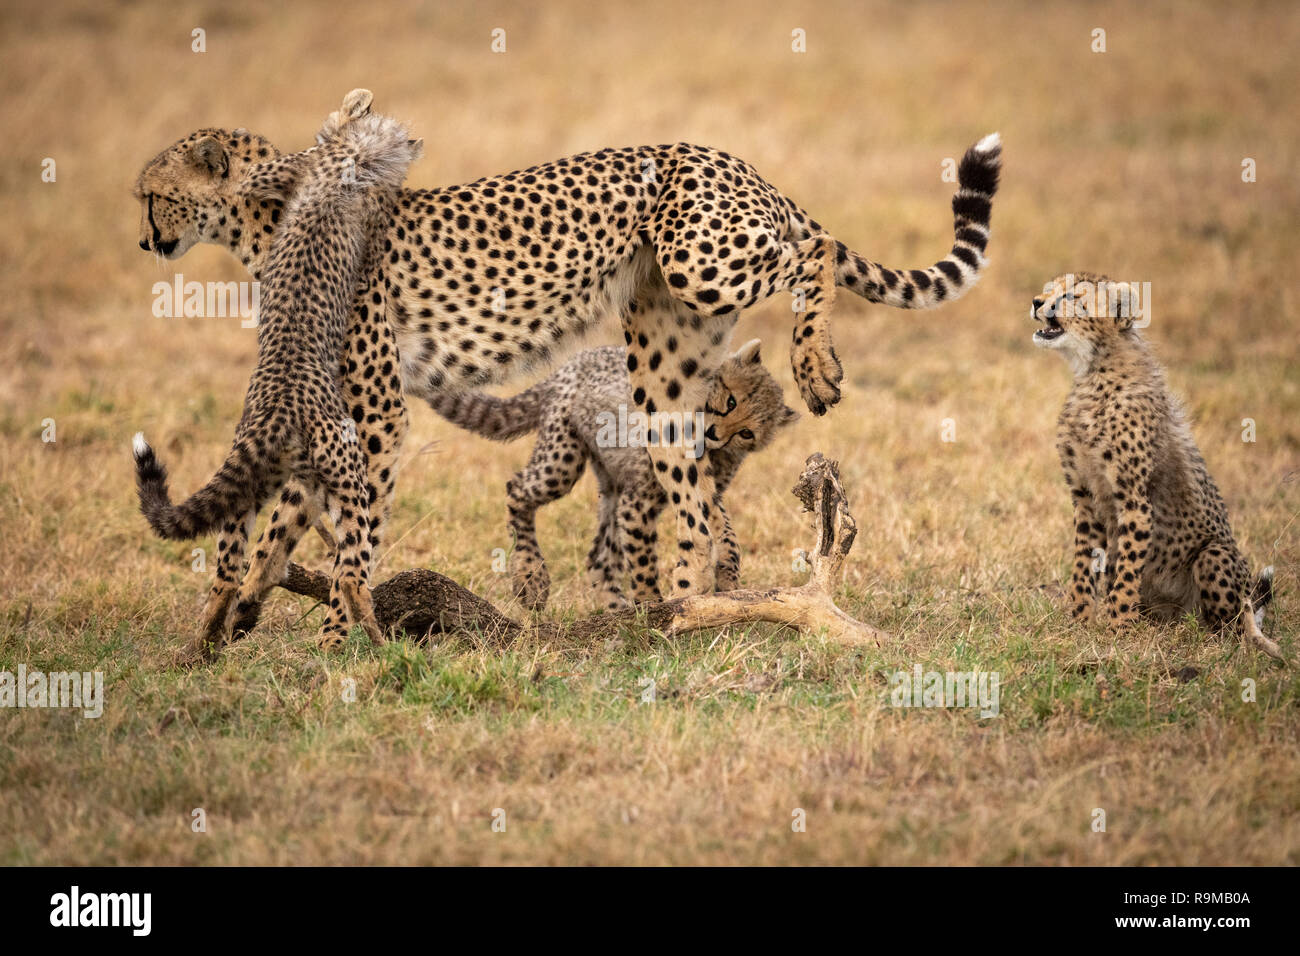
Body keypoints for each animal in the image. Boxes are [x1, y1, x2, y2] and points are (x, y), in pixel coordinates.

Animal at [132, 98, 423, 656]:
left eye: (153, 197)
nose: (143, 241)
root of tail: (281, 405)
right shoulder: (381, 415)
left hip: (265, 474)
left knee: (230, 563)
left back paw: (206, 643)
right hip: (346, 464)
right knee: (350, 569)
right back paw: (364, 642)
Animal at [431, 338, 798, 610]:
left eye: (746, 433)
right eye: (731, 401)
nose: (715, 433)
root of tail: (574, 361)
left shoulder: (701, 495)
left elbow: (724, 534)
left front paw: (729, 581)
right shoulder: (641, 502)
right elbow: (645, 559)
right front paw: (653, 607)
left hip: (612, 486)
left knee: (598, 555)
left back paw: (614, 608)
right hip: (562, 461)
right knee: (517, 488)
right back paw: (530, 578)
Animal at [1030, 271, 1281, 659]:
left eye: (1072, 296)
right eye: (1049, 289)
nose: (1036, 302)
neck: (1093, 372)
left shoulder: (1135, 500)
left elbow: (1128, 569)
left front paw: (1118, 627)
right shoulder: (1085, 497)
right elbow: (1084, 562)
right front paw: (1079, 620)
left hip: (1214, 556)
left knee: (1233, 627)